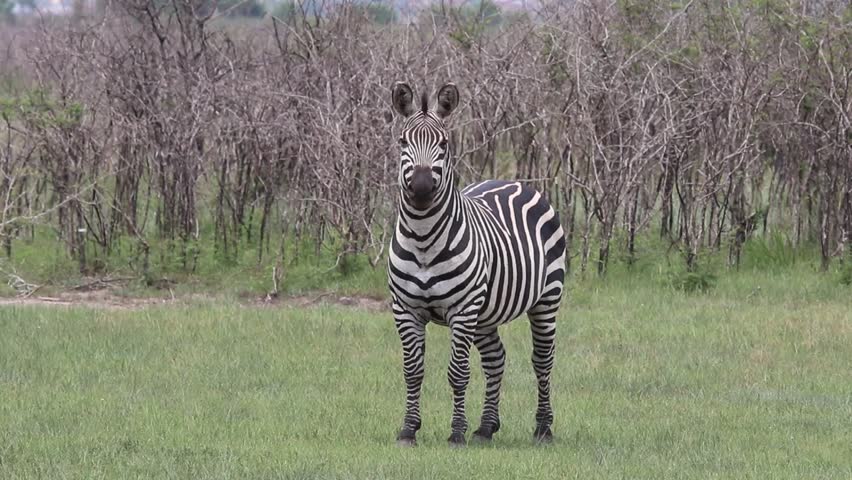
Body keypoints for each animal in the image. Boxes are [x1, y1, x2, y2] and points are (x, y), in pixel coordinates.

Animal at [387, 82, 567, 447]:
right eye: (402, 141)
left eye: (444, 144)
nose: (422, 188)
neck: (423, 239)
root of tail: (514, 182)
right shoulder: (404, 308)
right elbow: (412, 372)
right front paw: (408, 429)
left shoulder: (462, 309)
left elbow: (458, 372)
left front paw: (456, 432)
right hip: (486, 314)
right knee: (496, 359)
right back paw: (486, 427)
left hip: (546, 299)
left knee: (542, 361)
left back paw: (543, 428)